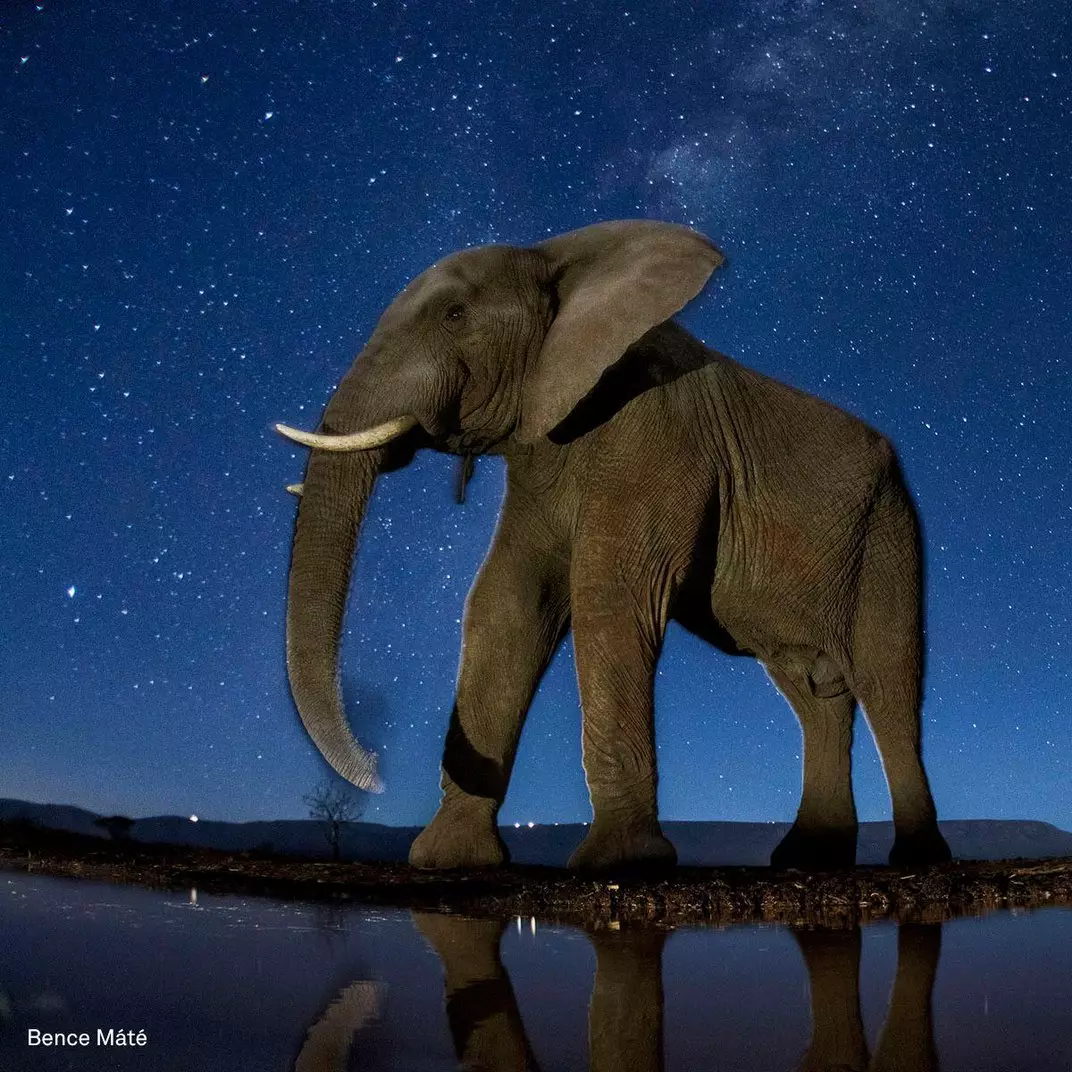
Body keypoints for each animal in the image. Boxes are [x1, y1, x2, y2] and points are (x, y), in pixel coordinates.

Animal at [274, 215, 947, 870]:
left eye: (455, 315)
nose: (375, 771)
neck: (558, 258)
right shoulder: (540, 456)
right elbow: (506, 605)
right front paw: (449, 861)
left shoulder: (656, 428)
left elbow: (609, 595)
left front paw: (621, 861)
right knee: (813, 692)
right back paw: (807, 859)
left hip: (889, 534)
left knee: (886, 685)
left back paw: (916, 858)